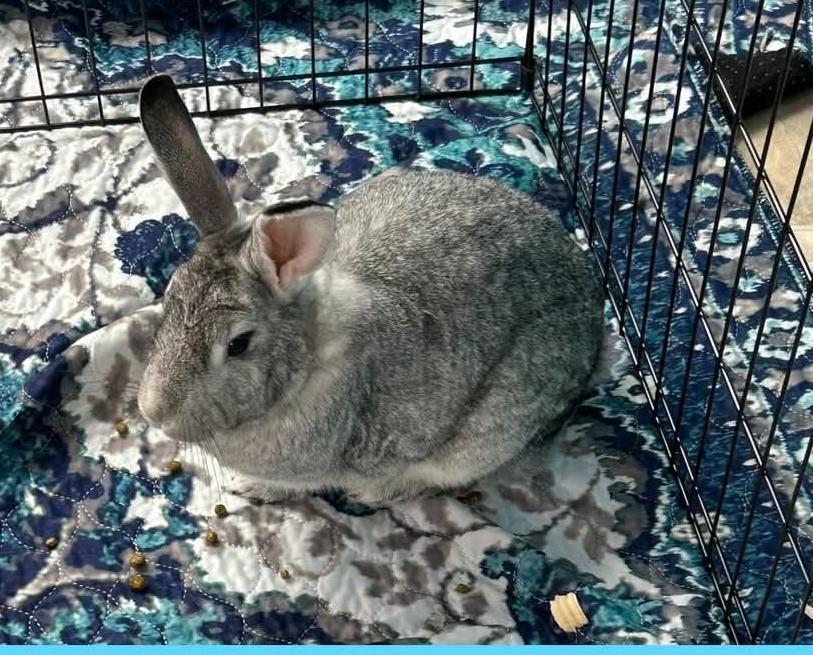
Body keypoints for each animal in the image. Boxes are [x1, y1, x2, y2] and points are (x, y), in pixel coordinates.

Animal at [135, 74, 605, 505]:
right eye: (169, 299)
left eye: (239, 344)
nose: (153, 411)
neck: (309, 359)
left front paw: (250, 486)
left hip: (491, 434)